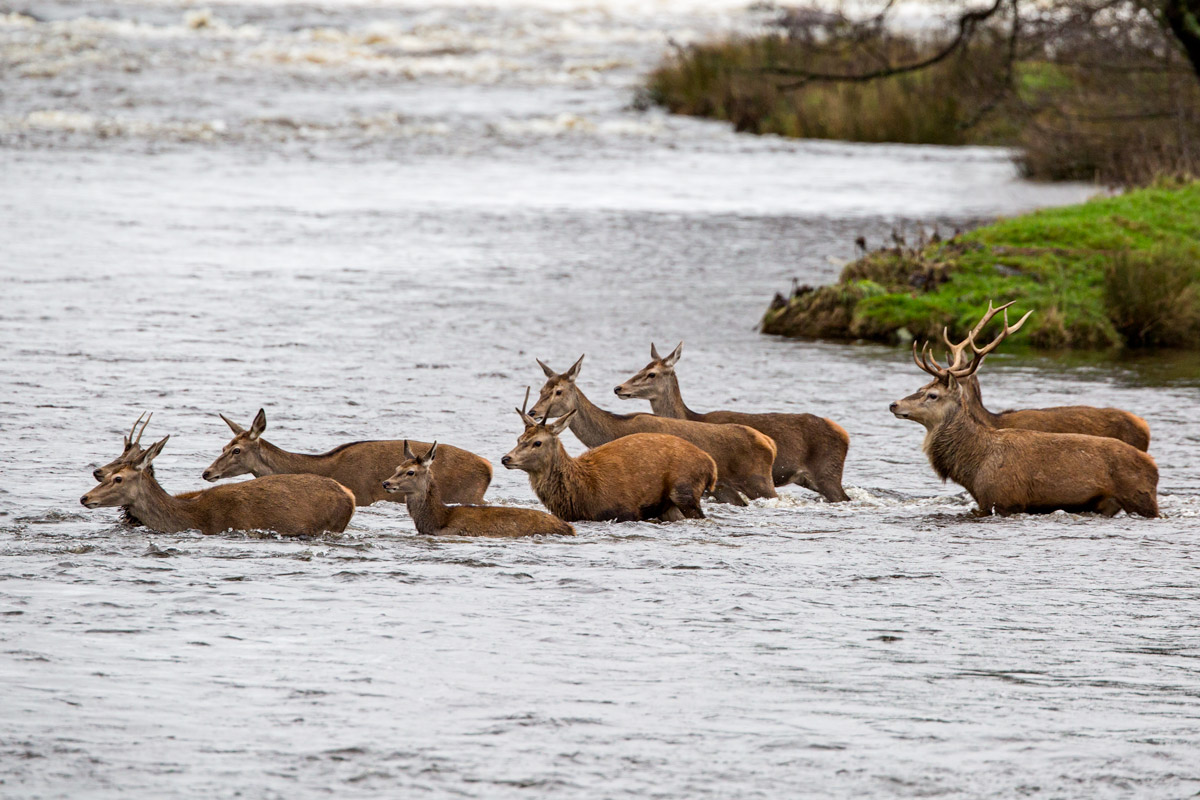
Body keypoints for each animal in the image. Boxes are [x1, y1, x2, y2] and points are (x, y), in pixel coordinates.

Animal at [502, 389, 718, 522]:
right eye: (519, 438)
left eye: (537, 442)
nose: (506, 458)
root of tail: (711, 465)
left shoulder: (625, 511)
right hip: (669, 506)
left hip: (684, 490)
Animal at [528, 356, 777, 506]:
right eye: (541, 390)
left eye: (558, 391)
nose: (533, 411)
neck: (613, 430)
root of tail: (769, 443)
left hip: (760, 482)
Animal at [613, 342, 851, 502]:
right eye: (640, 369)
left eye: (652, 374)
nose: (618, 388)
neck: (690, 417)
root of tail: (845, 434)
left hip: (827, 472)